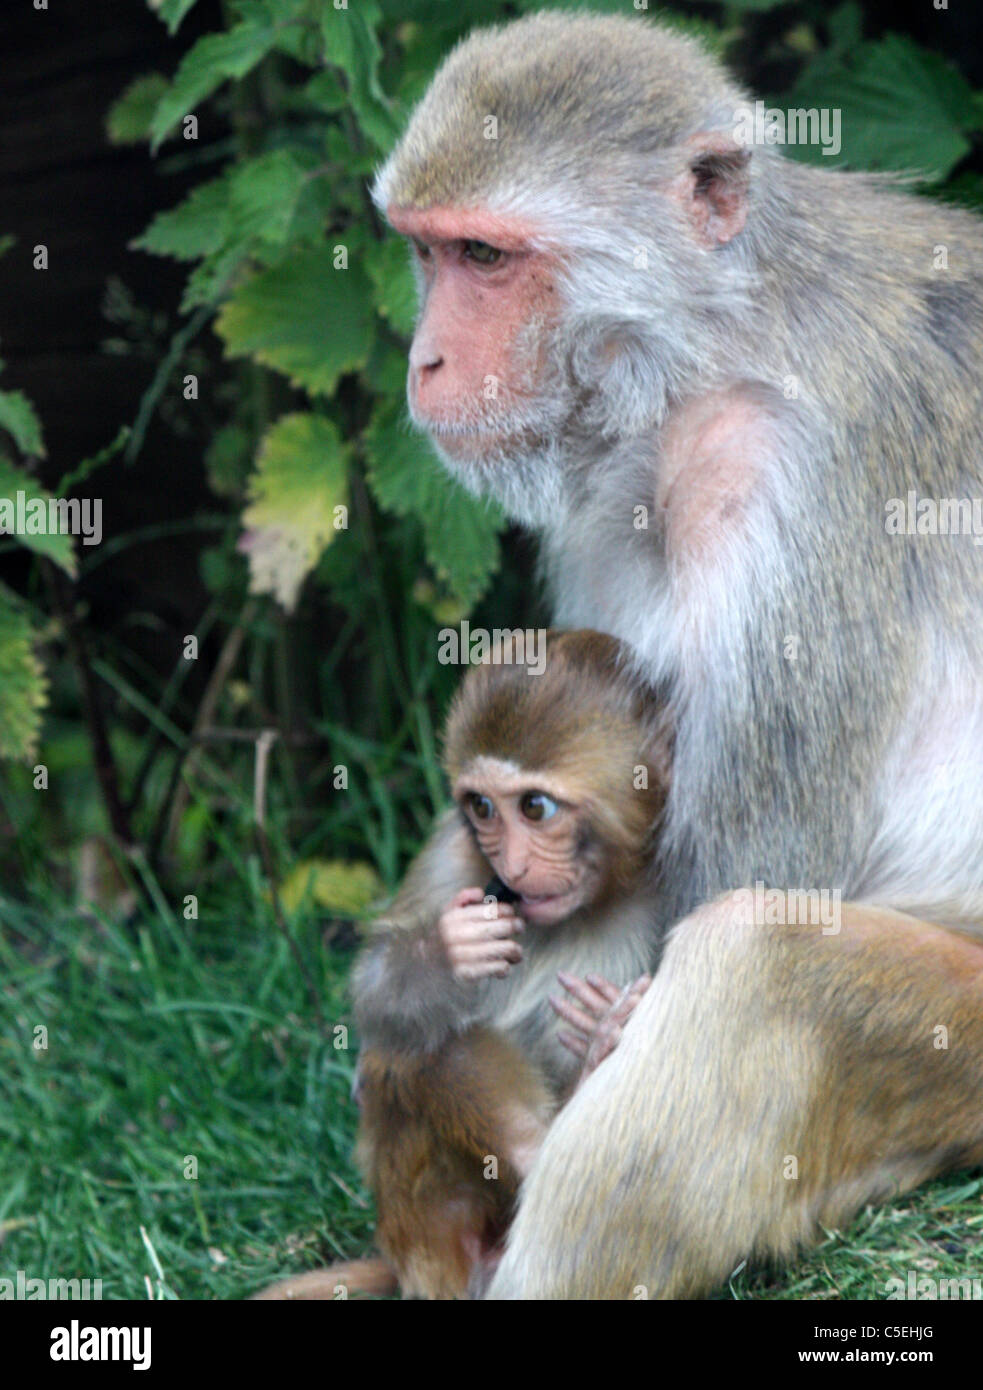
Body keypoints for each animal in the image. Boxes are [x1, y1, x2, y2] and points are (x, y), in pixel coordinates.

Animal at [256, 629, 666, 1300]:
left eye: (534, 807)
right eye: (480, 807)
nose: (513, 869)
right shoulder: (454, 849)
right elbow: (377, 992)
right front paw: (448, 956)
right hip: (418, 1223)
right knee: (414, 1046)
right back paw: (532, 1152)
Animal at [367, 11, 983, 1297]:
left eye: (485, 257)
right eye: (426, 252)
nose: (424, 363)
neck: (701, 349)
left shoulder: (782, 482)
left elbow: (757, 869)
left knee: (755, 962)